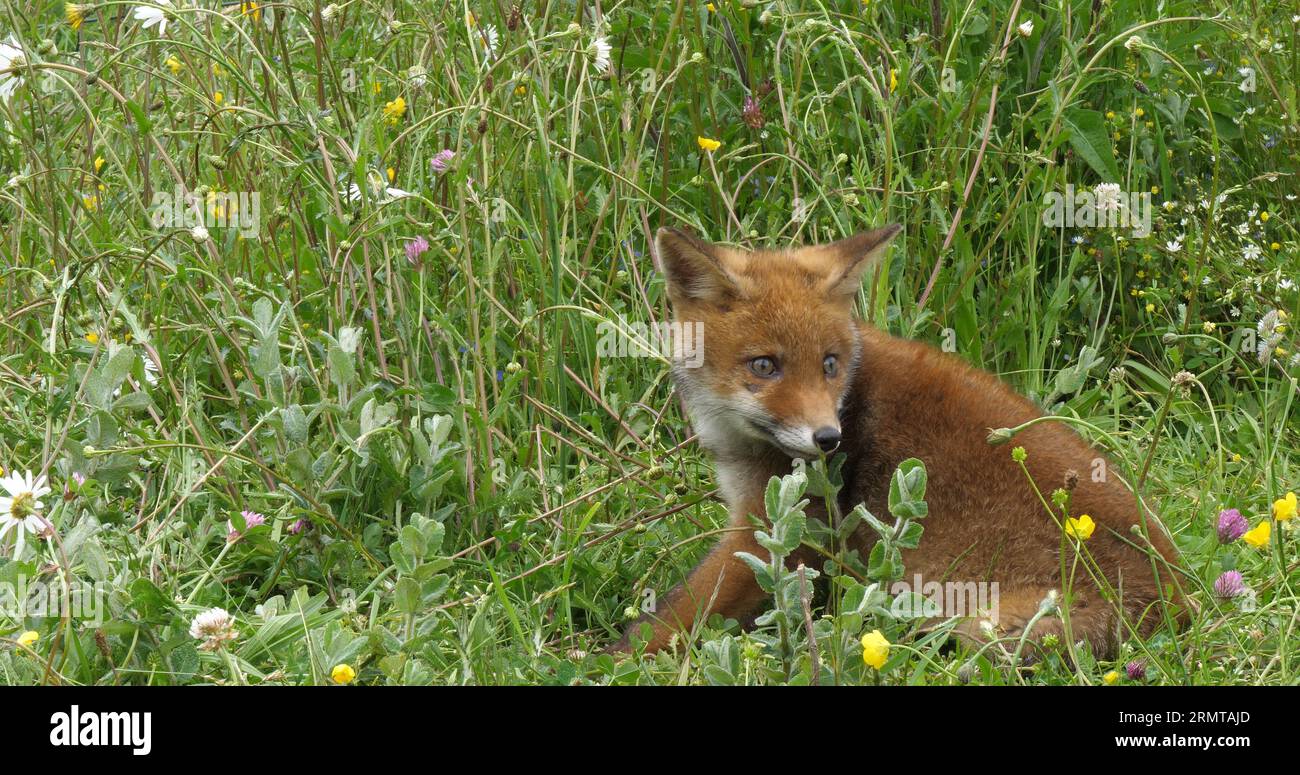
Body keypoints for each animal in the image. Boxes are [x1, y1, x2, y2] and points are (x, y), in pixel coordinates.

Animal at [613, 225, 1186, 659]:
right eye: (764, 366)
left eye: (829, 364)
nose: (828, 440)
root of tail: (1176, 608)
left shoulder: (778, 532)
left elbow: (672, 617)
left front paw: (612, 660)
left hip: (974, 625)